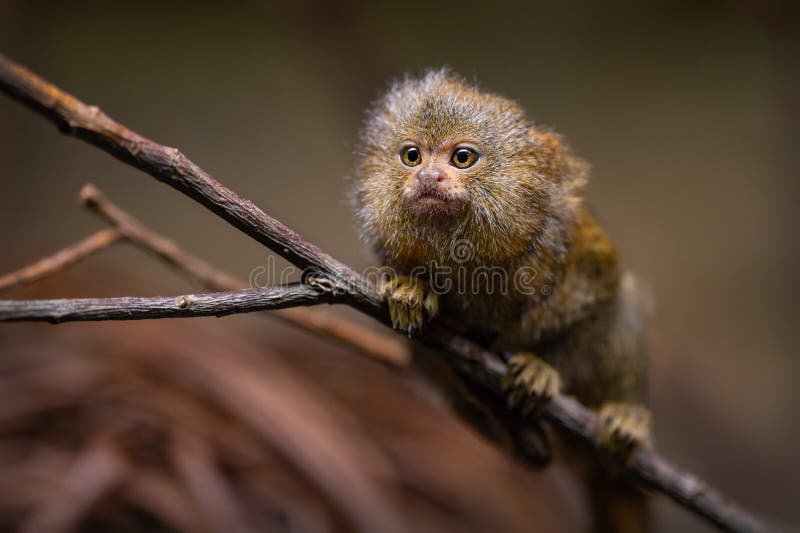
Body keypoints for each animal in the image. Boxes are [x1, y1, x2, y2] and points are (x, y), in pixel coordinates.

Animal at [351, 69, 652, 532]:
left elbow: (602, 304)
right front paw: (412, 291)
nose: (428, 178)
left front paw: (540, 369)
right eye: (412, 156)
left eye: (462, 158)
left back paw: (626, 417)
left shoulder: (579, 255)